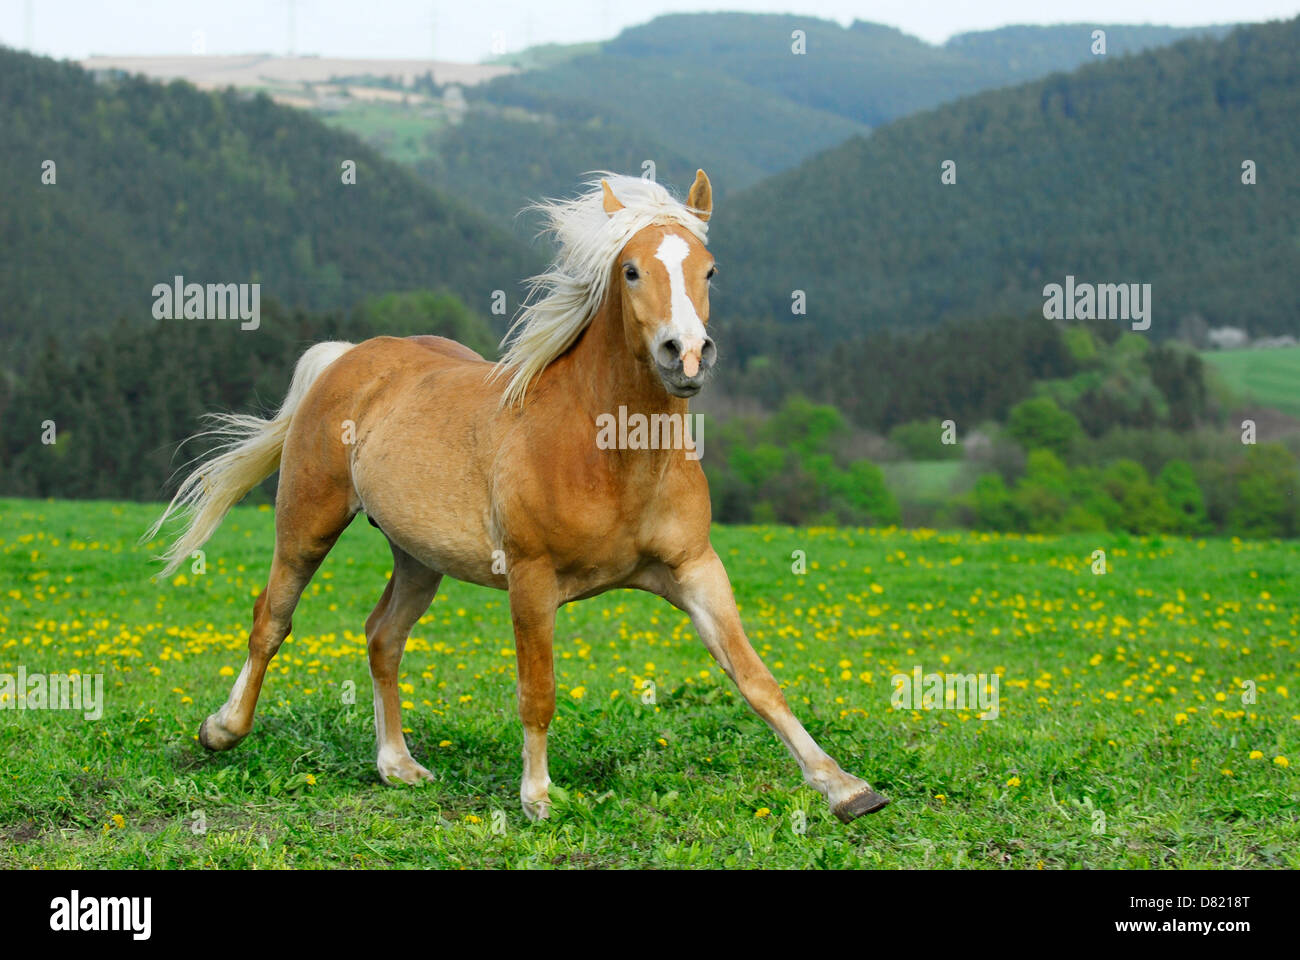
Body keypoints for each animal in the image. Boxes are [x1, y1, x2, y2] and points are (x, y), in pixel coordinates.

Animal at [146, 170, 889, 823]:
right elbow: (539, 692)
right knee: (271, 619)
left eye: (709, 270)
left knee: (383, 637)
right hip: (308, 521)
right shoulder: (533, 579)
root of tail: (348, 357)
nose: (686, 354)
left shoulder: (694, 569)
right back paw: (222, 730)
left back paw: (398, 766)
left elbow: (755, 677)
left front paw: (846, 790)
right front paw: (537, 798)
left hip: (419, 557)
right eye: (631, 271)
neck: (608, 453)